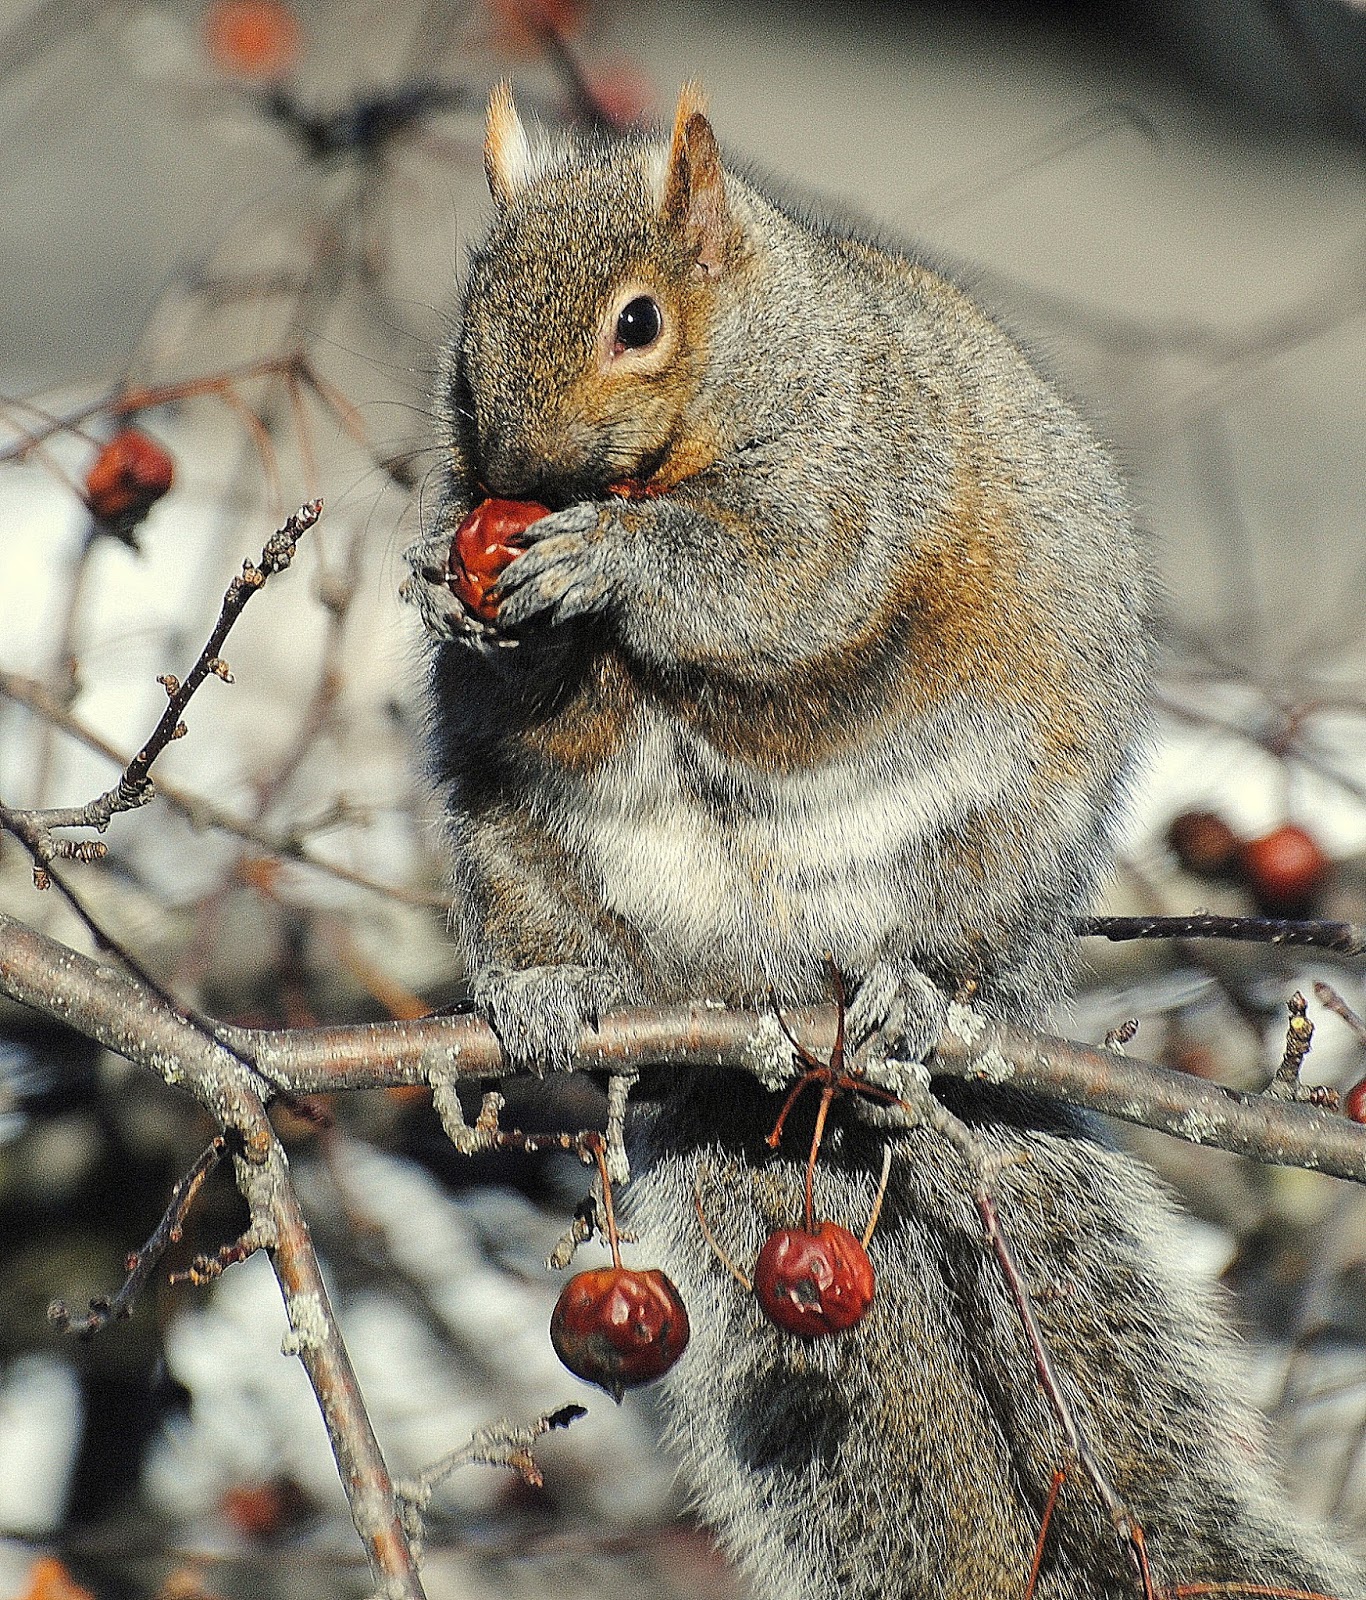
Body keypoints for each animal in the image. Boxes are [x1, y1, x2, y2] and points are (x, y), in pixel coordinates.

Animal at [402, 83, 1366, 1600]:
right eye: (467, 319)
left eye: (638, 322)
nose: (512, 472)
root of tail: (751, 1000)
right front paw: (447, 584)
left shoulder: (857, 478)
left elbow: (774, 577)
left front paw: (609, 560)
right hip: (508, 846)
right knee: (547, 917)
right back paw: (547, 991)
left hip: (988, 853)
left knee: (951, 944)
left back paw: (912, 991)